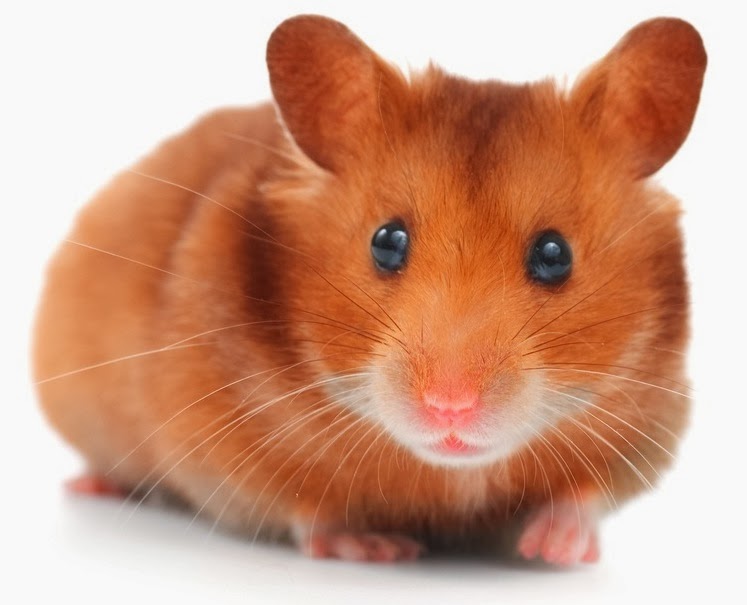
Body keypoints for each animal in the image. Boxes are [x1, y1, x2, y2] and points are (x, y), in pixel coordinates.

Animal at [33, 15, 706, 565]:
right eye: (386, 242)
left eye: (554, 255)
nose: (450, 407)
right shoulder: (224, 446)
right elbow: (308, 508)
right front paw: (380, 547)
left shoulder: (652, 424)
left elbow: (587, 493)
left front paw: (556, 550)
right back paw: (91, 484)